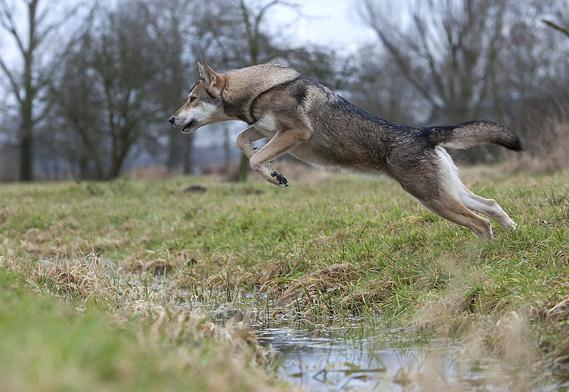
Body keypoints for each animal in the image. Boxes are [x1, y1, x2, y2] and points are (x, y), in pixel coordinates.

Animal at [170, 62, 524, 239]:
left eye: (191, 99)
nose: (171, 119)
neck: (259, 90)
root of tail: (424, 132)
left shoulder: (295, 133)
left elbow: (256, 157)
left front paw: (273, 176)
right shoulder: (266, 129)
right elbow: (243, 142)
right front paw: (273, 173)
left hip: (434, 200)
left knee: (481, 223)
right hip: (448, 193)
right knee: (492, 206)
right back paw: (513, 237)